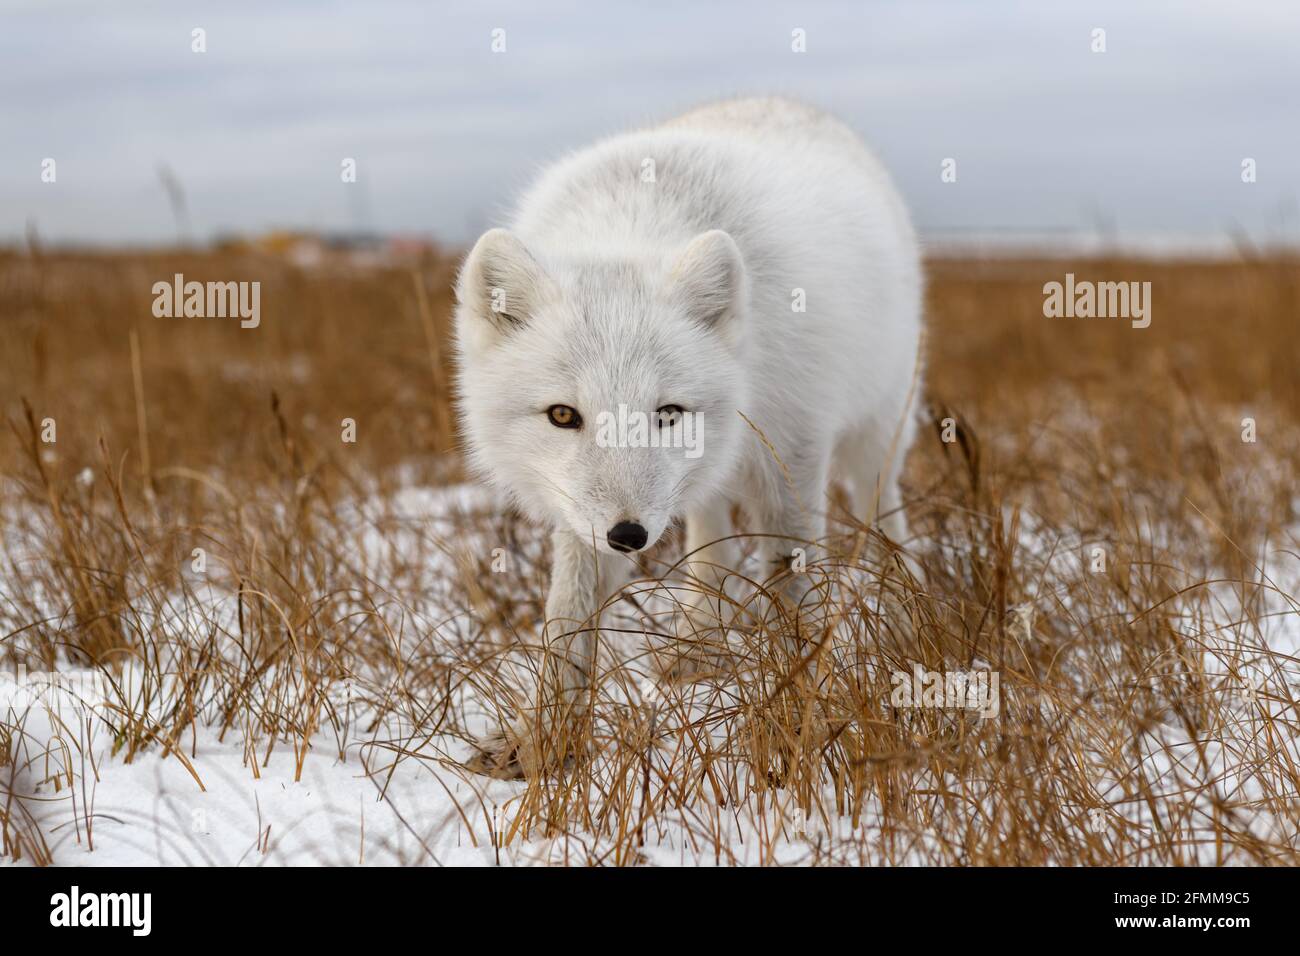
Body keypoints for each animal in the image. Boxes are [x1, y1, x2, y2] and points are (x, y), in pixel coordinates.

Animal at [454, 97, 923, 777]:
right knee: (710, 543)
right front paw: (541, 740)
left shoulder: (794, 450)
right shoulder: (582, 520)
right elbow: (566, 620)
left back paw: (908, 614)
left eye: (668, 412)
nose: (629, 536)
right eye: (563, 416)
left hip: (876, 436)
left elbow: (792, 591)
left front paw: (799, 723)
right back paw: (699, 645)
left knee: (885, 517)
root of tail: (790, 103)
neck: (630, 226)